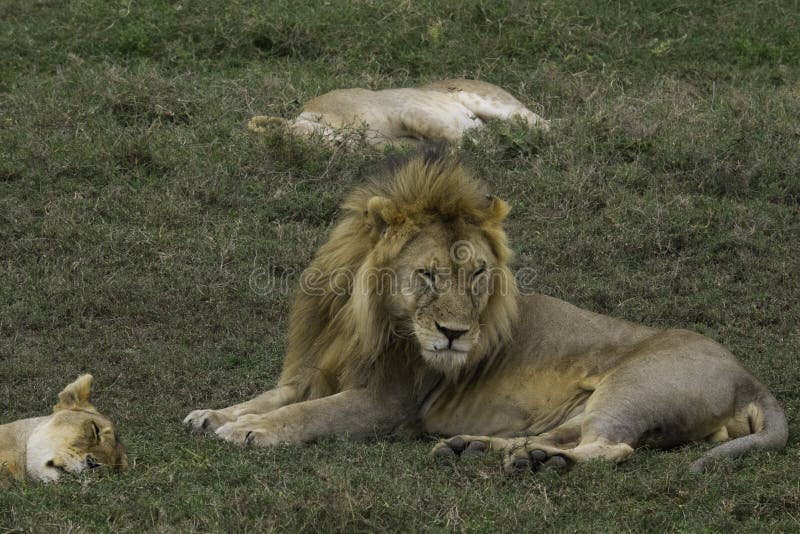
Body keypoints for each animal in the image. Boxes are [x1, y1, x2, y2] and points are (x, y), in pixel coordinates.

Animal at [184, 145, 787, 473]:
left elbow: (308, 414)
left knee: (610, 446)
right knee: (568, 434)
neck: (358, 316)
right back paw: (475, 448)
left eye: (477, 275)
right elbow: (271, 395)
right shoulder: (314, 371)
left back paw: (537, 464)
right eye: (428, 274)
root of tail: (750, 377)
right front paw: (215, 414)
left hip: (635, 387)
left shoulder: (387, 403)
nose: (454, 334)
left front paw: (252, 431)